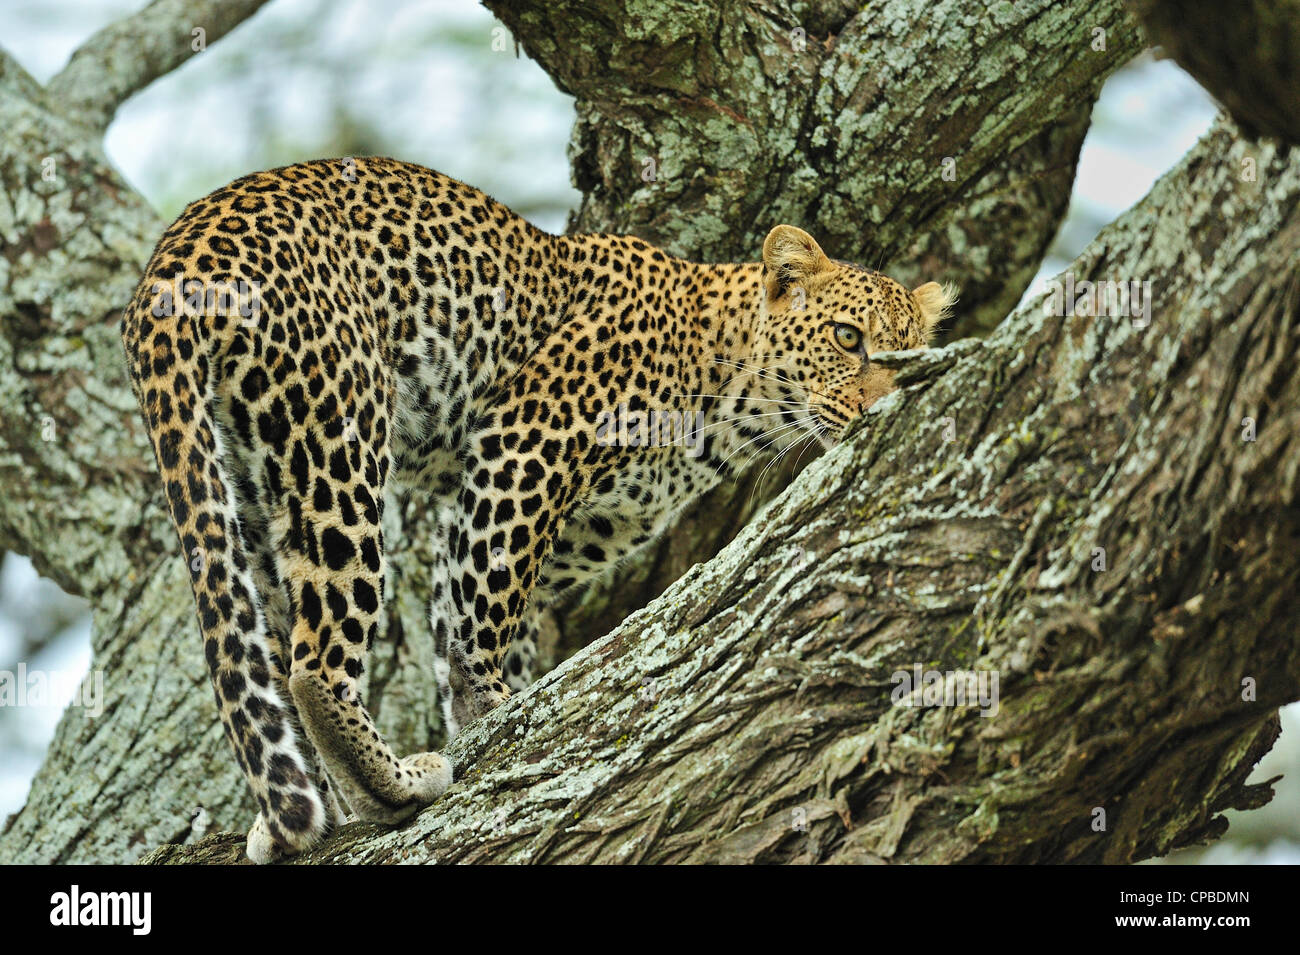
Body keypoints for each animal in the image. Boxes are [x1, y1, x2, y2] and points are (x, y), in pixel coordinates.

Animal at [120, 157, 955, 863]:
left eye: (910, 350)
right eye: (847, 339)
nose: (886, 402)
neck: (733, 398)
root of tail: (180, 253)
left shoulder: (565, 519)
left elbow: (458, 608)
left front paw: (484, 707)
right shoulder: (526, 435)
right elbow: (482, 607)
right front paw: (497, 709)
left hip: (246, 484)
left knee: (266, 639)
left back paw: (296, 815)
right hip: (339, 429)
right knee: (313, 662)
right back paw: (393, 786)